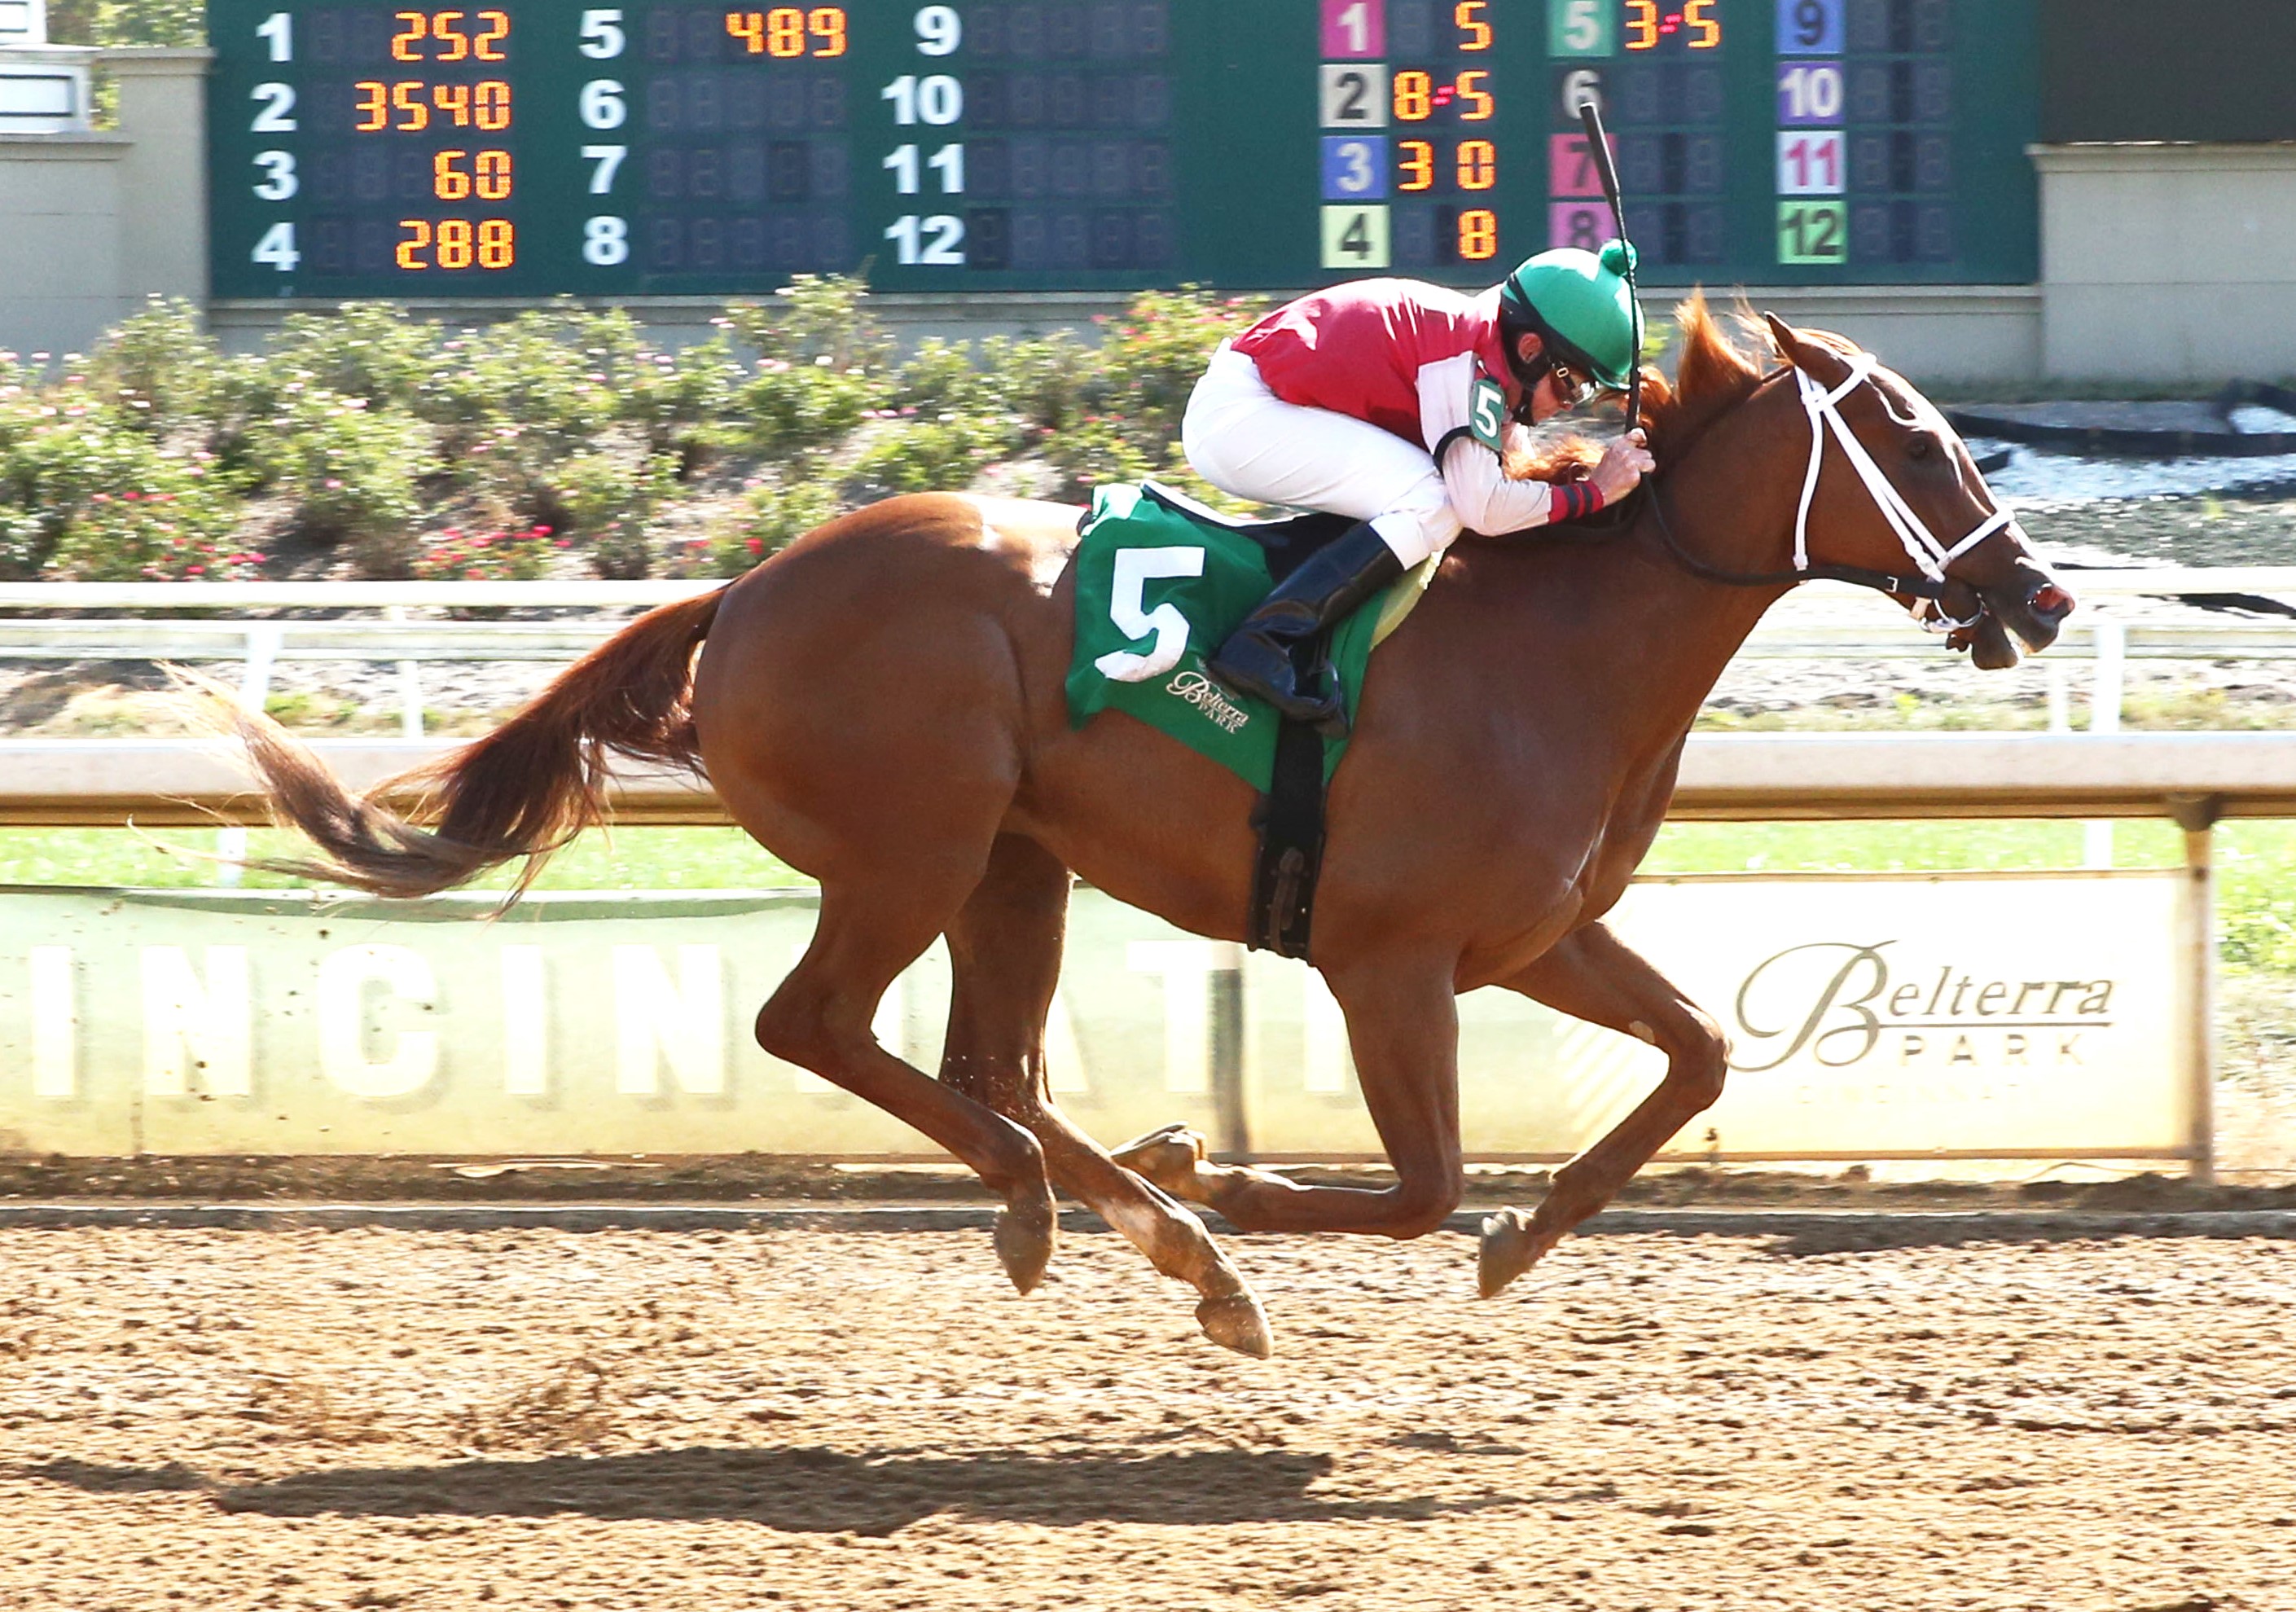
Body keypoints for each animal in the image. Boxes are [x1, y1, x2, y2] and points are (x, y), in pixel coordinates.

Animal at [208, 298, 2074, 1359]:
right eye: (1914, 438)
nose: (2038, 595)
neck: (1553, 641)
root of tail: (741, 587)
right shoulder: (1384, 957)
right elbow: (1416, 1181)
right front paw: (1243, 1174)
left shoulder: (1528, 934)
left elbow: (1691, 1055)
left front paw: (1510, 1239)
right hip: (912, 849)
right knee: (824, 1027)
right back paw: (1105, 1215)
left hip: (1011, 864)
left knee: (987, 1066)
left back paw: (1154, 1235)